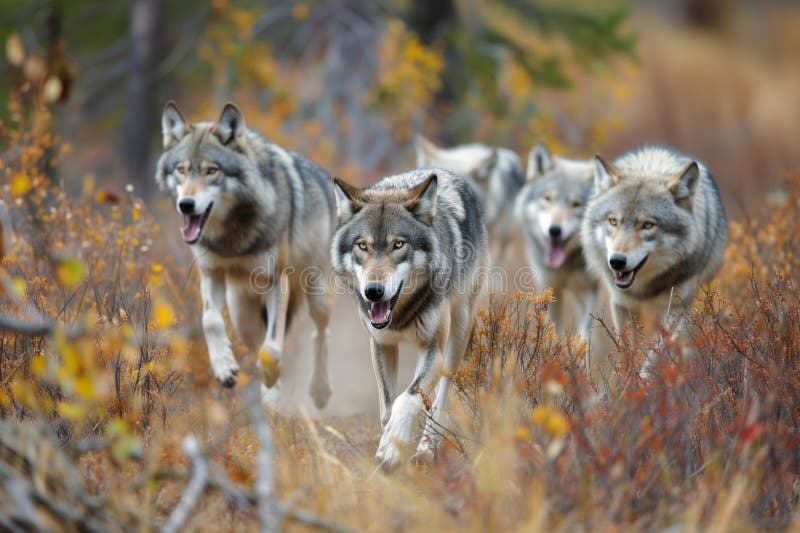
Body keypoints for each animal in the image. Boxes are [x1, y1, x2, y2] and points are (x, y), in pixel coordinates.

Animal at [155, 101, 334, 408]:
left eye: (211, 171)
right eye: (181, 170)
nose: (186, 204)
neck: (232, 240)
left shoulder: (276, 280)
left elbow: (272, 349)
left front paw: (271, 377)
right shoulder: (211, 274)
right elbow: (211, 321)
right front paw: (225, 368)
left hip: (317, 295)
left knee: (319, 333)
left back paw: (317, 391)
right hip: (242, 314)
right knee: (258, 341)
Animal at [331, 169, 488, 470]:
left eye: (398, 244)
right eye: (362, 246)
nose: (373, 291)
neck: (400, 316)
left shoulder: (433, 349)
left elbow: (409, 398)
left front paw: (393, 447)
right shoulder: (381, 344)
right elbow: (388, 406)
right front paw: (389, 442)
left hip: (457, 335)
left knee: (441, 399)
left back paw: (427, 449)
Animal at [515, 144, 598, 339]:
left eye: (576, 204)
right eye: (547, 198)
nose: (554, 230)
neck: (564, 267)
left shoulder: (587, 291)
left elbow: (583, 336)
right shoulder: (551, 287)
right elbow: (554, 331)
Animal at [581, 145, 727, 376]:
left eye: (647, 225)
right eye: (613, 222)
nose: (617, 261)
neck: (644, 289)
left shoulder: (678, 309)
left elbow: (654, 357)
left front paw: (644, 382)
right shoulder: (622, 305)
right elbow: (627, 353)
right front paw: (628, 381)